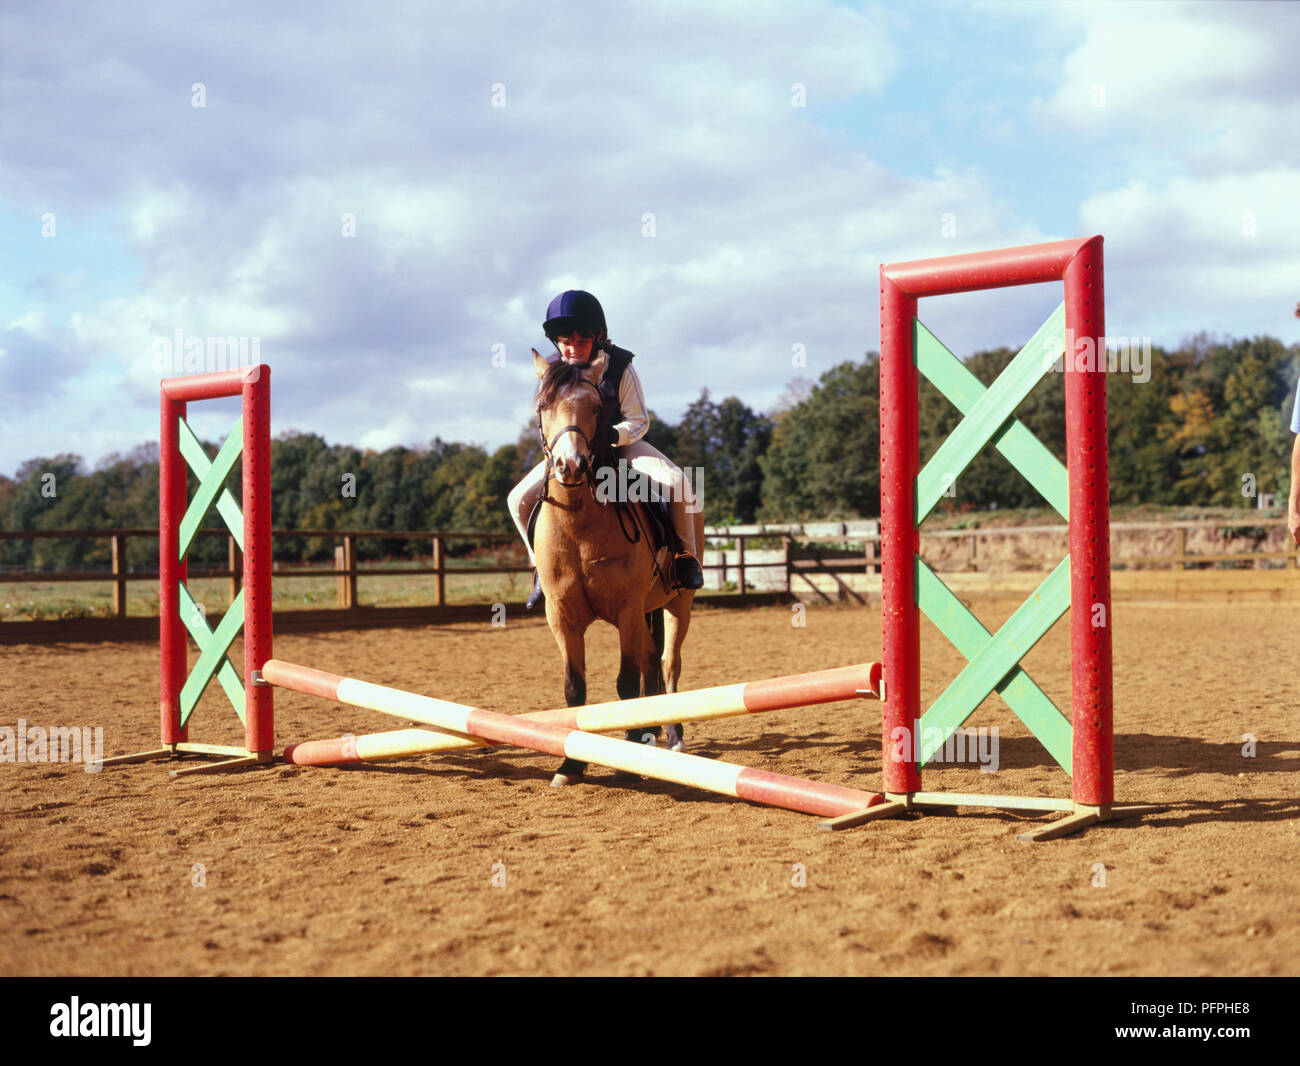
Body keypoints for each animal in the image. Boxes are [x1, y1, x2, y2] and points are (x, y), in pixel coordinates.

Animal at [530, 347, 705, 787]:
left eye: (595, 407)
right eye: (543, 405)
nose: (570, 465)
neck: (579, 523)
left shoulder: (627, 610)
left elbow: (625, 684)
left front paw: (626, 758)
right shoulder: (562, 617)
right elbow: (575, 689)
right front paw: (570, 765)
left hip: (678, 604)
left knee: (668, 664)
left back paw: (671, 736)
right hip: (646, 611)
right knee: (651, 665)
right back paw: (646, 732)